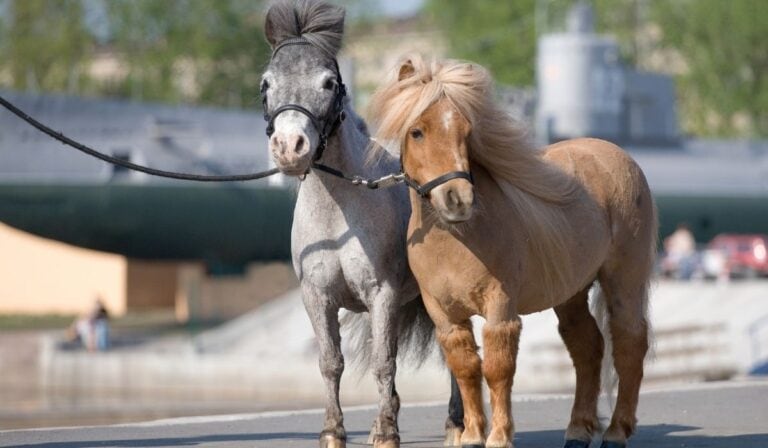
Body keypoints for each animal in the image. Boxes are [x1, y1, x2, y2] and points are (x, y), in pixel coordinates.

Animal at [260, 3, 463, 448]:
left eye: (328, 82)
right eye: (266, 83)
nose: (289, 148)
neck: (339, 216)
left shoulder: (382, 294)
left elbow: (384, 362)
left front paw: (386, 433)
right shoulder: (317, 297)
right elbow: (331, 362)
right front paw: (333, 431)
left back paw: (458, 425)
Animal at [367, 54, 657, 448]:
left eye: (466, 131)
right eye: (417, 131)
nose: (458, 199)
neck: (460, 238)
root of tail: (619, 156)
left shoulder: (500, 307)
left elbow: (497, 369)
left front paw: (499, 436)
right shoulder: (445, 315)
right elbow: (466, 368)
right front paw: (472, 435)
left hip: (623, 280)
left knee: (628, 344)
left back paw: (615, 432)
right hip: (571, 293)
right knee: (588, 347)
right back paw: (577, 431)